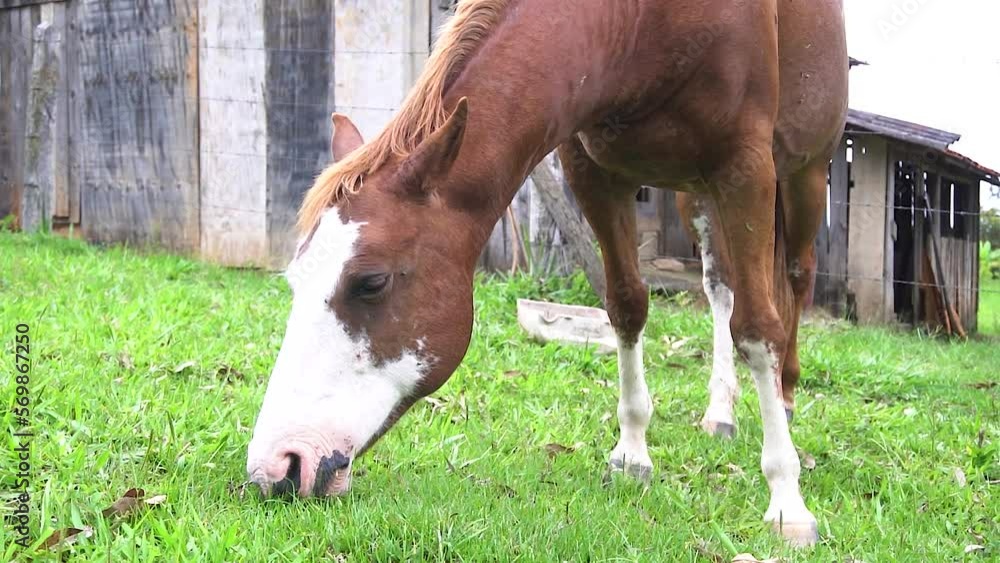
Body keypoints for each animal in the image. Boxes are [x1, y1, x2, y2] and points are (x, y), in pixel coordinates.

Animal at [246, 0, 848, 547]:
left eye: (370, 282)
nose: (279, 465)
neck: (643, 22)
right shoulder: (594, 172)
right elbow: (626, 304)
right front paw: (632, 452)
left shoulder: (745, 168)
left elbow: (758, 329)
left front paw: (788, 503)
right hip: (694, 194)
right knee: (719, 286)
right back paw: (721, 411)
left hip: (801, 174)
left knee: (793, 278)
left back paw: (786, 396)